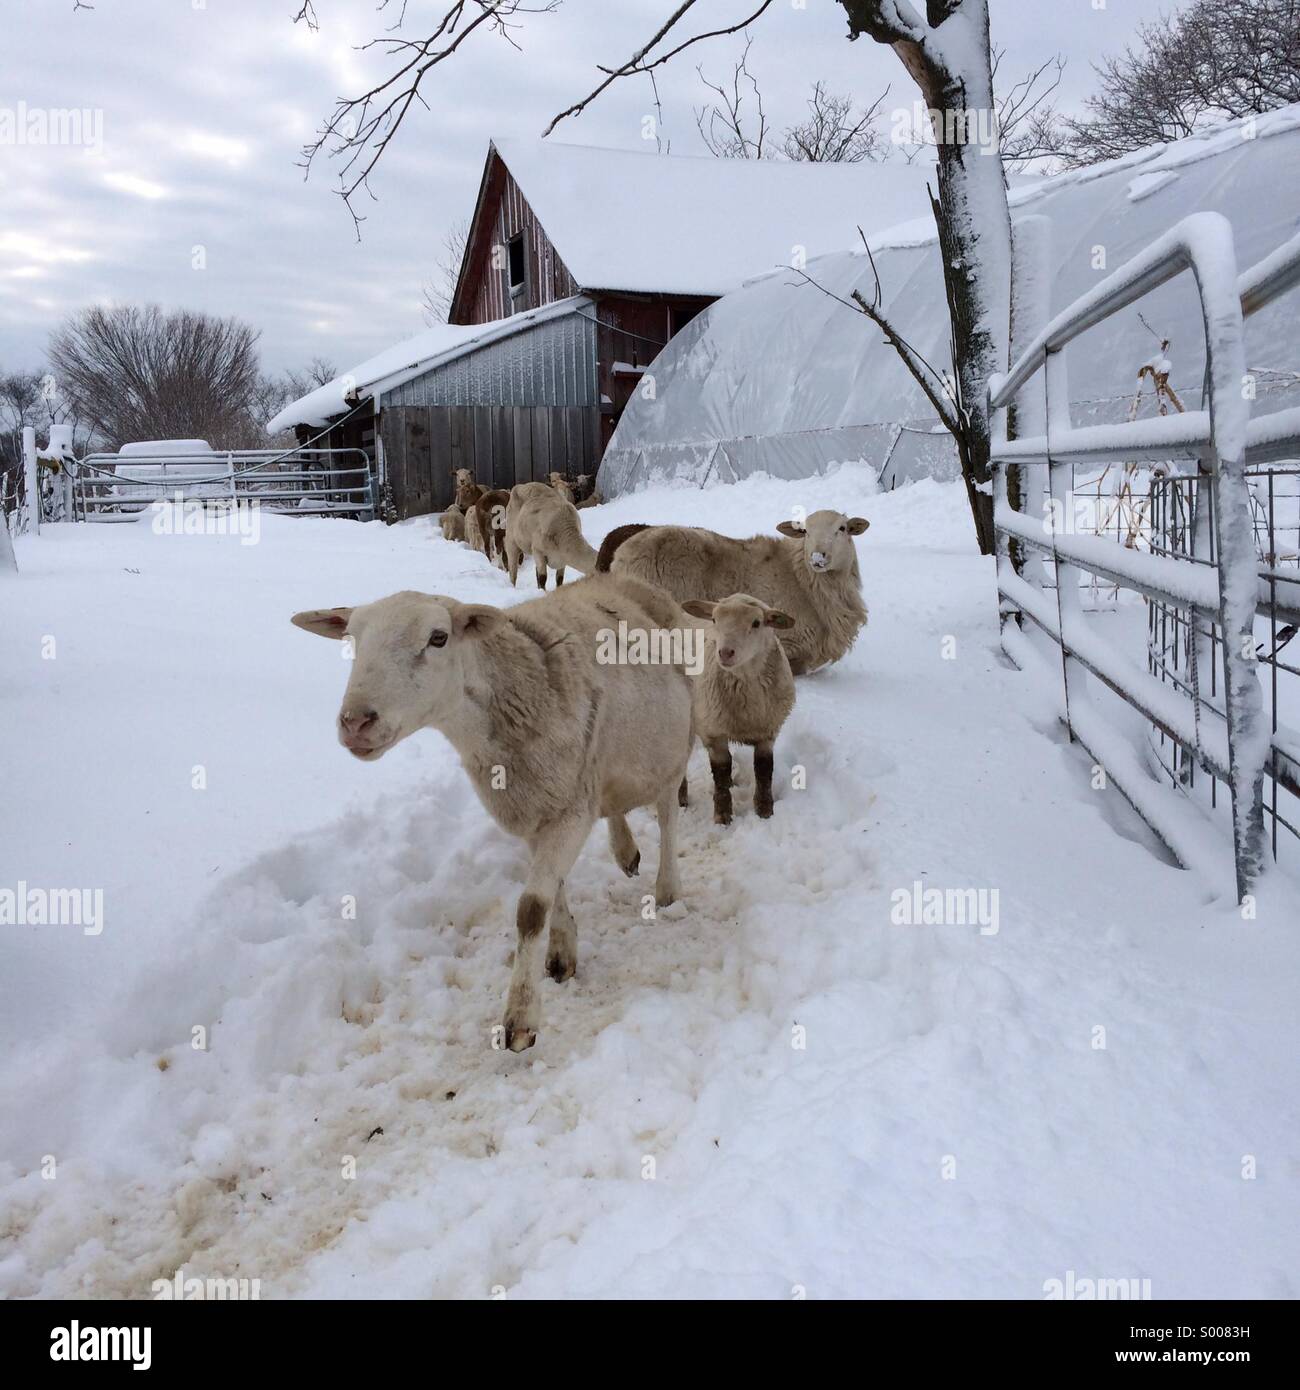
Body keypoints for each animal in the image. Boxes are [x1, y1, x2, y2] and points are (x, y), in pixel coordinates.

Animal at [291, 573, 694, 1051]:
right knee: (617, 805)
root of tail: (622, 578)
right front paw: (561, 954)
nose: (355, 722)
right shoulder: (535, 807)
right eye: (351, 639)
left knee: (667, 814)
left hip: (676, 746)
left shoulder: (569, 809)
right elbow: (553, 890)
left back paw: (667, 888)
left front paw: (519, 1019)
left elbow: (531, 908)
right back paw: (625, 851)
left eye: (439, 637)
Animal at [680, 594, 795, 824]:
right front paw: (723, 816)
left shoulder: (768, 732)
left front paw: (764, 811)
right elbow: (721, 773)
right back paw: (681, 798)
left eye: (757, 623)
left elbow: (764, 770)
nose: (725, 653)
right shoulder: (714, 733)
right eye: (714, 619)